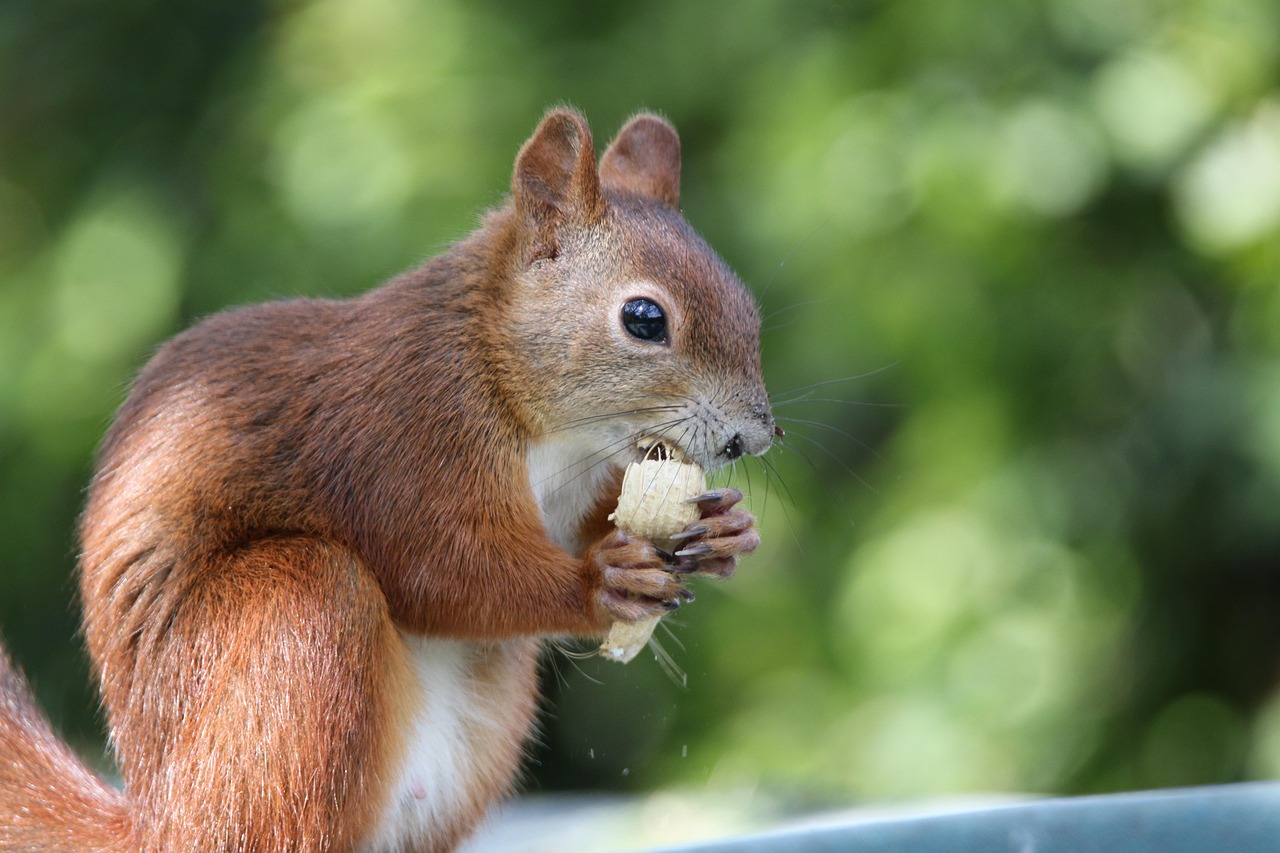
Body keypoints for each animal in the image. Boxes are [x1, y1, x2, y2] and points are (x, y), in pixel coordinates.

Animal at [0, 107, 774, 853]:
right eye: (643, 318)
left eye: (748, 306)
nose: (755, 437)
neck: (547, 426)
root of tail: (157, 820)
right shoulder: (399, 440)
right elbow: (441, 568)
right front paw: (597, 584)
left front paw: (727, 526)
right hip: (291, 625)